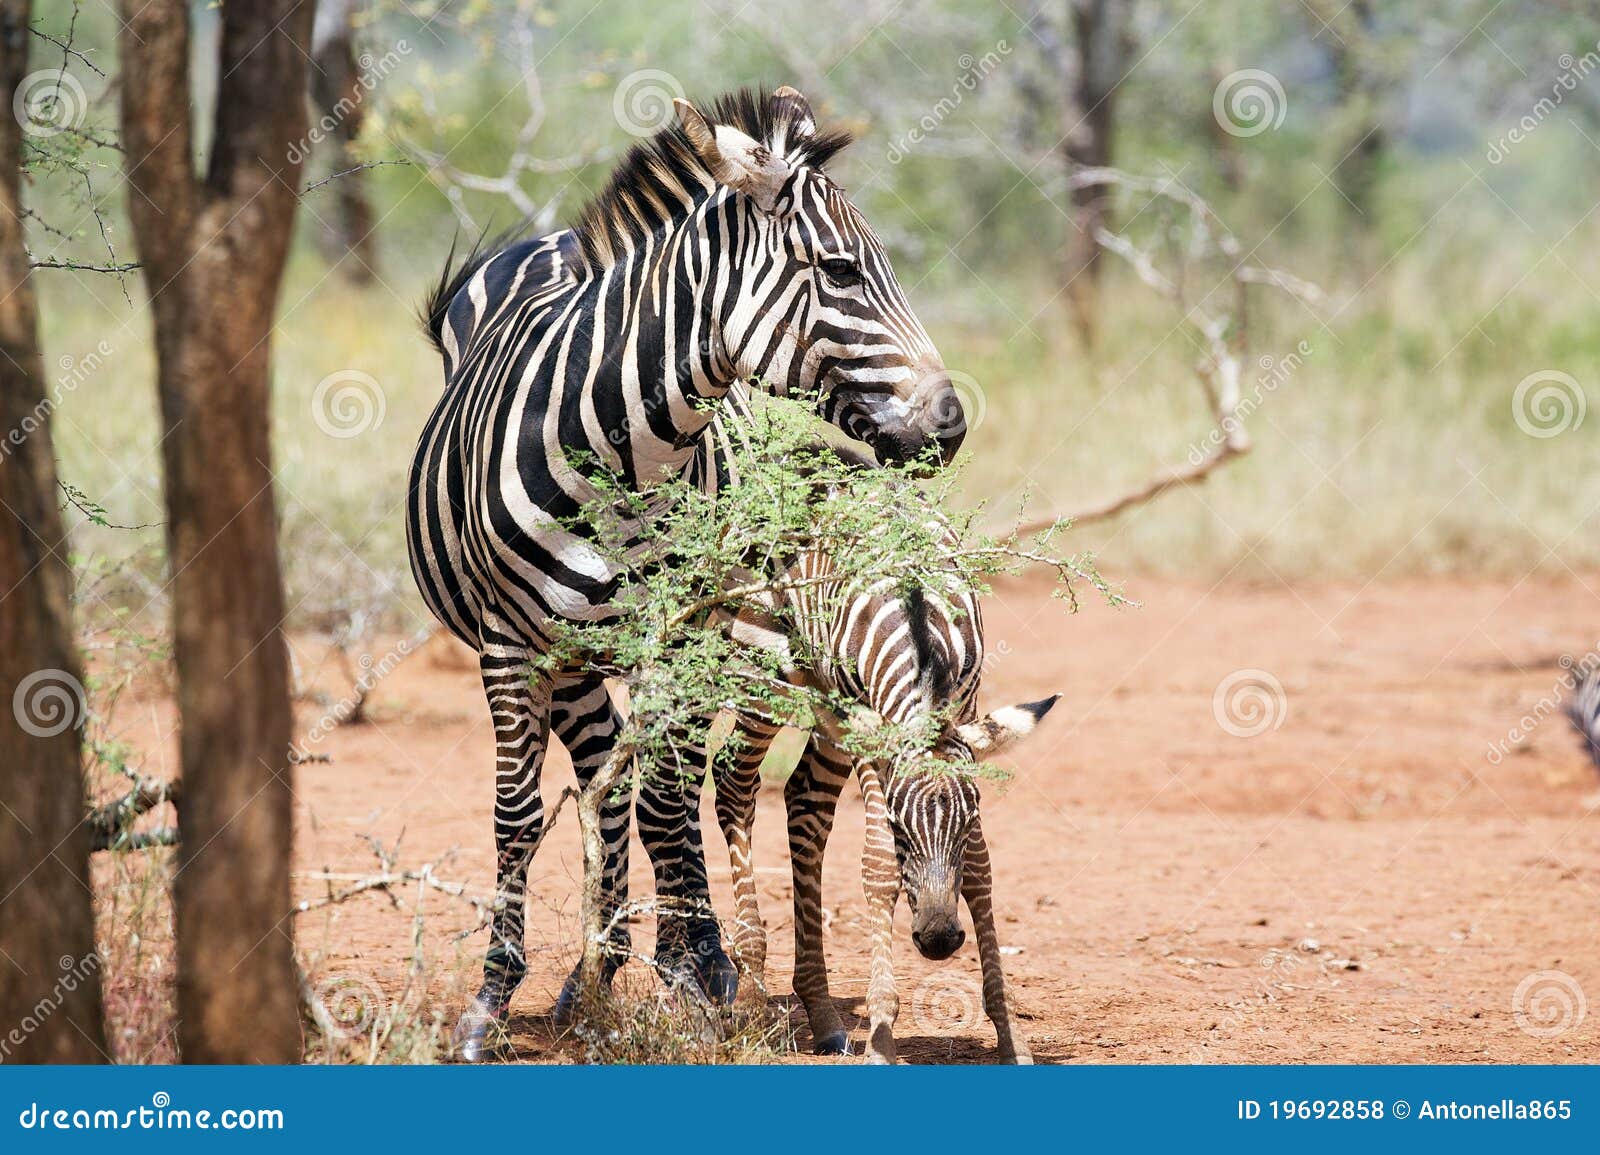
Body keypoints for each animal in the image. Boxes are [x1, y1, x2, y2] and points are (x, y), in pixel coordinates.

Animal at [406, 87, 967, 1061]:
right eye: (840, 270)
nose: (953, 422)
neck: (619, 448)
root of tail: (551, 239)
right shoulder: (509, 645)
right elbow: (518, 812)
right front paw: (489, 1001)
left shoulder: (681, 633)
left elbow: (669, 795)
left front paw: (696, 970)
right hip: (570, 657)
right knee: (605, 779)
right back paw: (587, 976)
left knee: (653, 781)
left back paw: (657, 959)